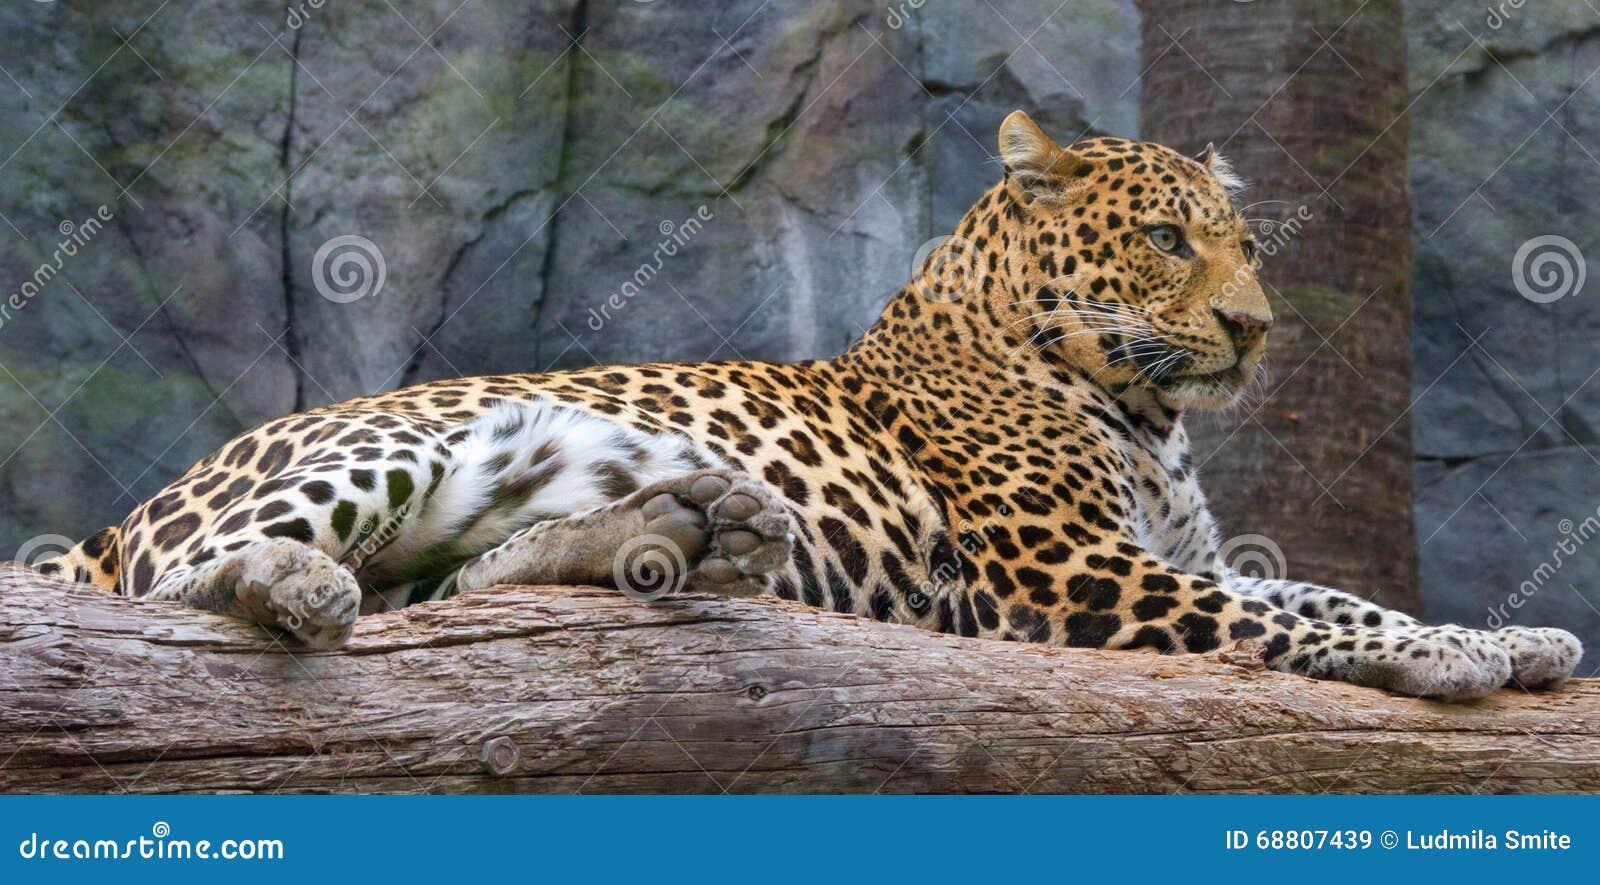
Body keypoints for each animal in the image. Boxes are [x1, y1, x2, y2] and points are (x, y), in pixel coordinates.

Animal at [35, 110, 1581, 700]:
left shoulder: (1170, 556)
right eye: (1164, 240)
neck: (1146, 417)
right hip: (378, 444)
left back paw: (676, 530)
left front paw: (1516, 636)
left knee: (457, 587)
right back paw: (294, 586)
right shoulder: (1076, 576)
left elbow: (1324, 594)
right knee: (172, 590)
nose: (1255, 328)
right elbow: (1290, 619)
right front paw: (1451, 655)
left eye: (1247, 245)